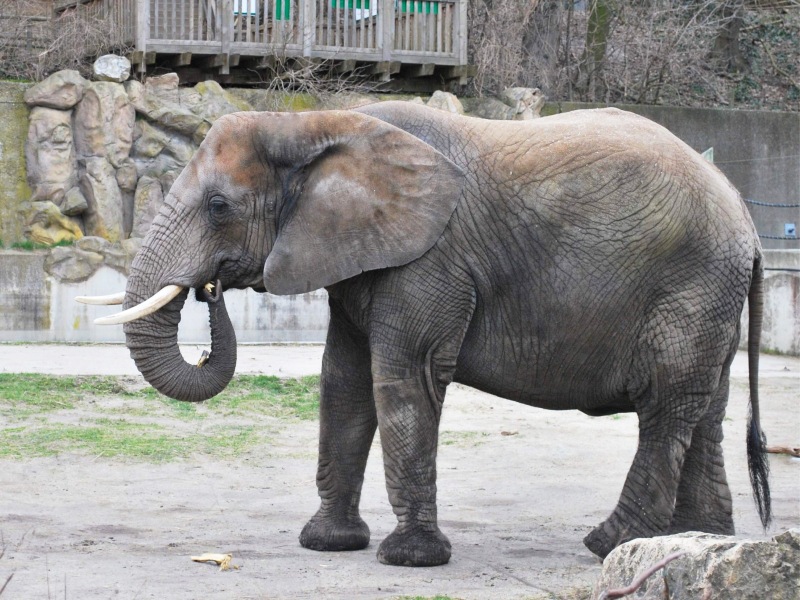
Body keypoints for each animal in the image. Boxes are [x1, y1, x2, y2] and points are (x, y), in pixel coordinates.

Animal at [80, 101, 771, 566]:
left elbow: (402, 380)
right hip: (709, 294)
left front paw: (410, 558)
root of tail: (744, 211)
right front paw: (327, 545)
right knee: (705, 409)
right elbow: (344, 383)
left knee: (665, 406)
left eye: (219, 206)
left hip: (692, 284)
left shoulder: (429, 260)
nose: (210, 290)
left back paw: (609, 545)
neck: (312, 122)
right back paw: (697, 542)